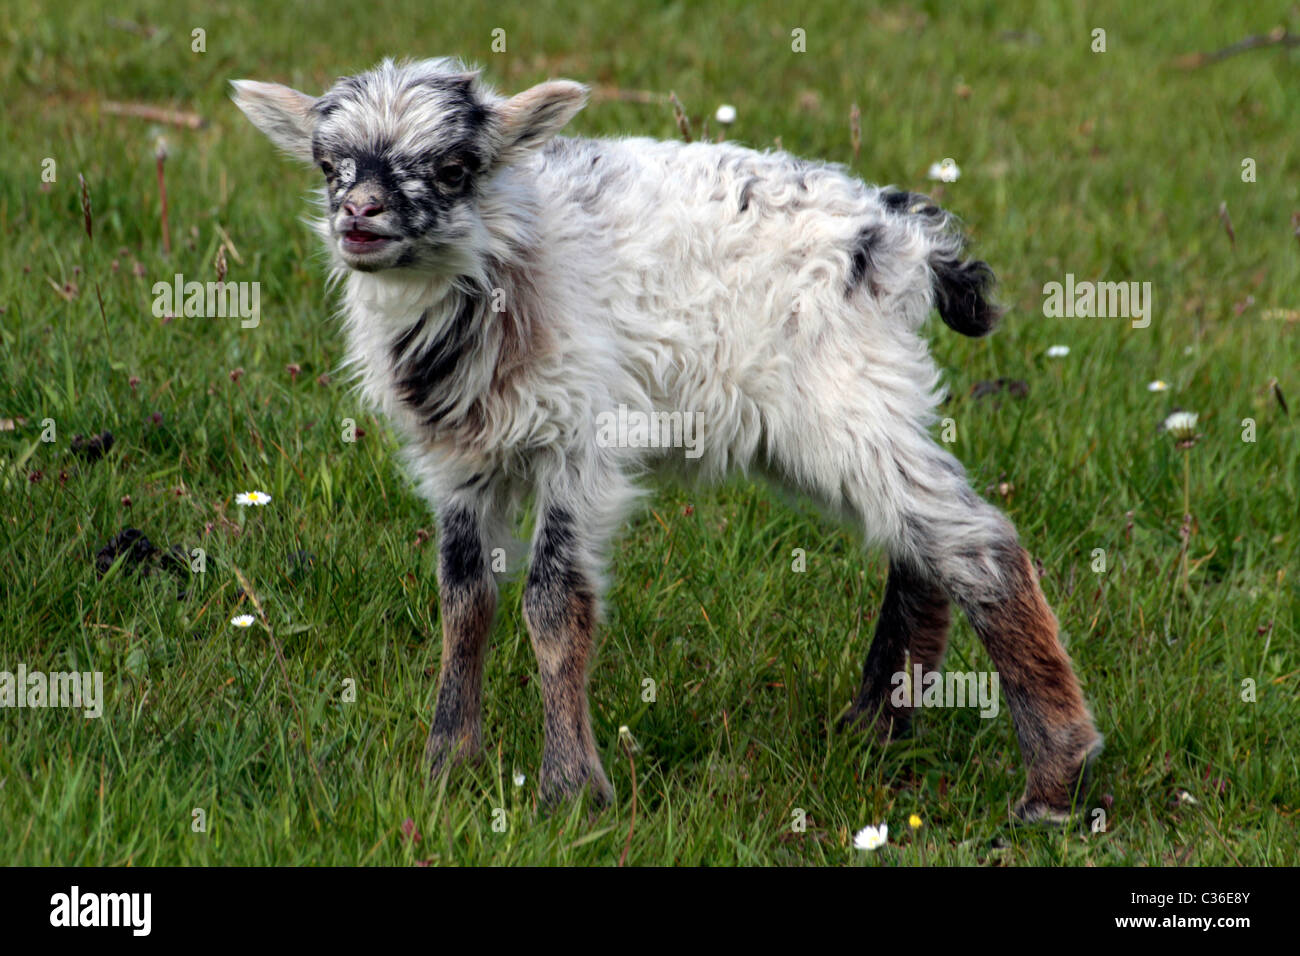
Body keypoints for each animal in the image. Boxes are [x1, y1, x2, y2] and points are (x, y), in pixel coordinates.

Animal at [232, 57, 1102, 822]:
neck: (510, 258)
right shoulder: (458, 463)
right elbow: (464, 596)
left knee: (976, 542)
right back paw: (877, 730)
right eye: (327, 164)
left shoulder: (581, 443)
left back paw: (1052, 781)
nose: (358, 213)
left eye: (453, 167)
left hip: (842, 398)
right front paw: (447, 766)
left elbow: (554, 601)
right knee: (918, 544)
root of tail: (899, 234)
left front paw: (570, 793)